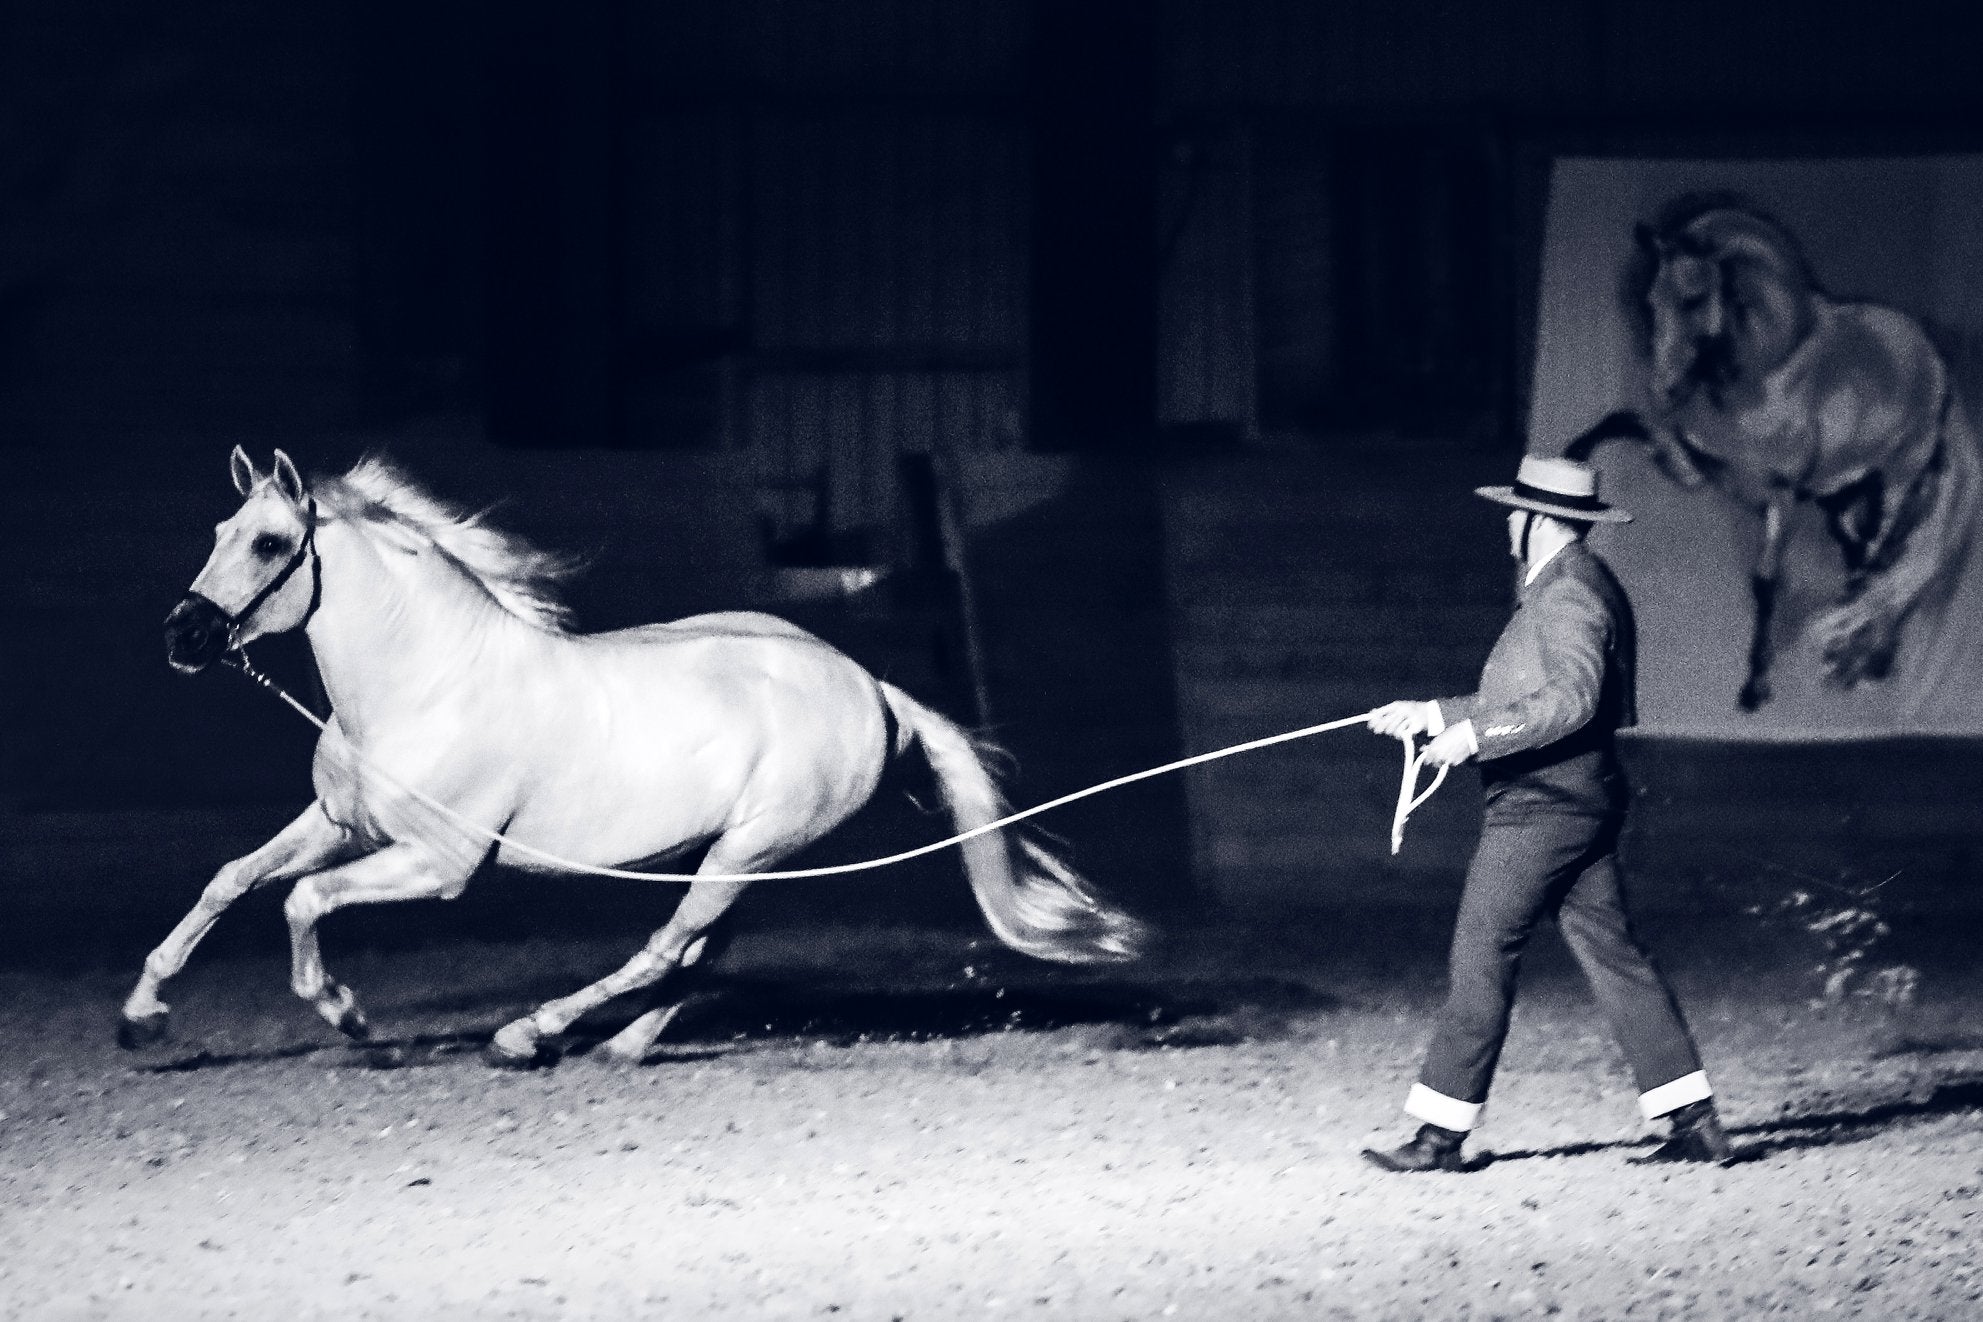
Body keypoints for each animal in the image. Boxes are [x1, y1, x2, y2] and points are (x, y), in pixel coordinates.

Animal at [125, 448, 1145, 1066]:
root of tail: (873, 689)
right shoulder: (342, 825)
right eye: (217, 534)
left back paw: (529, 1035)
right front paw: (142, 1016)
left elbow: (300, 902)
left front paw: (349, 1015)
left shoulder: (440, 864)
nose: (182, 634)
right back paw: (619, 1047)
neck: (428, 685)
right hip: (741, 856)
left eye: (269, 543)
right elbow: (232, 879)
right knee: (695, 952)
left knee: (666, 946)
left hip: (751, 849)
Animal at [1569, 192, 1981, 713]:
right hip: (1843, 495)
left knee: (1882, 555)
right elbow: (1625, 423)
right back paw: (1867, 652)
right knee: (1862, 557)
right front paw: (1572, 457)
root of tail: (1937, 367)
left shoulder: (1779, 500)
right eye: (1652, 301)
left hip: (1895, 485)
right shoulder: (1697, 469)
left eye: (1694, 299)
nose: (1663, 391)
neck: (1763, 378)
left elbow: (1766, 583)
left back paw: (1863, 656)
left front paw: (1755, 687)